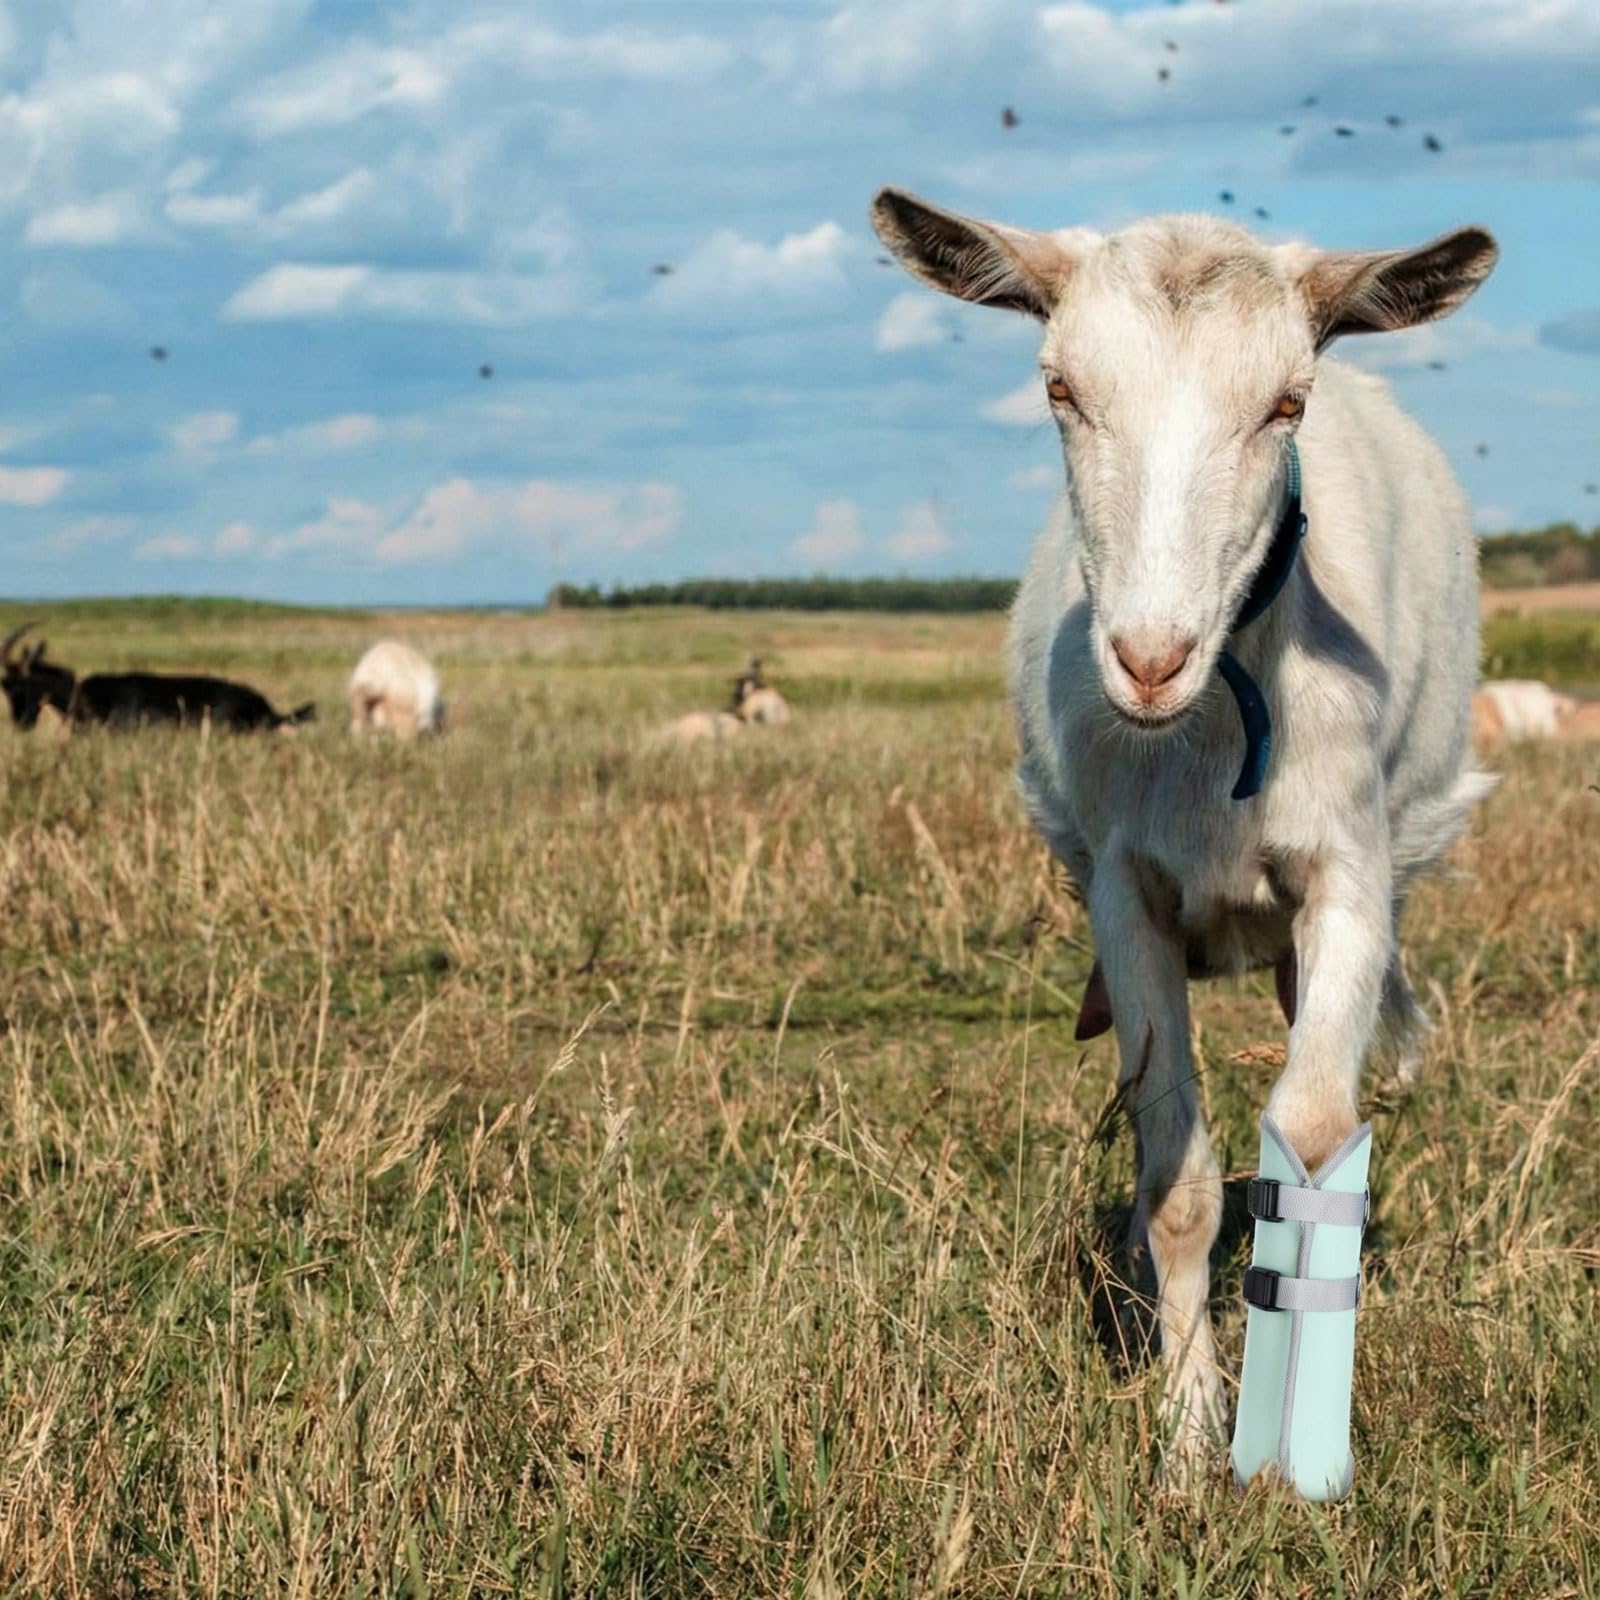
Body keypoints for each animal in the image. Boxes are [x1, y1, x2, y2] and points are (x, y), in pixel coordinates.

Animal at [871, 186, 1497, 1475]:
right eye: (1059, 387)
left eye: (1286, 401)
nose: (1149, 658)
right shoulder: (1126, 891)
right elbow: (1179, 1179)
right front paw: (1188, 1430)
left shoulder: (1348, 878)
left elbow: (1310, 1137)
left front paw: (1297, 1443)